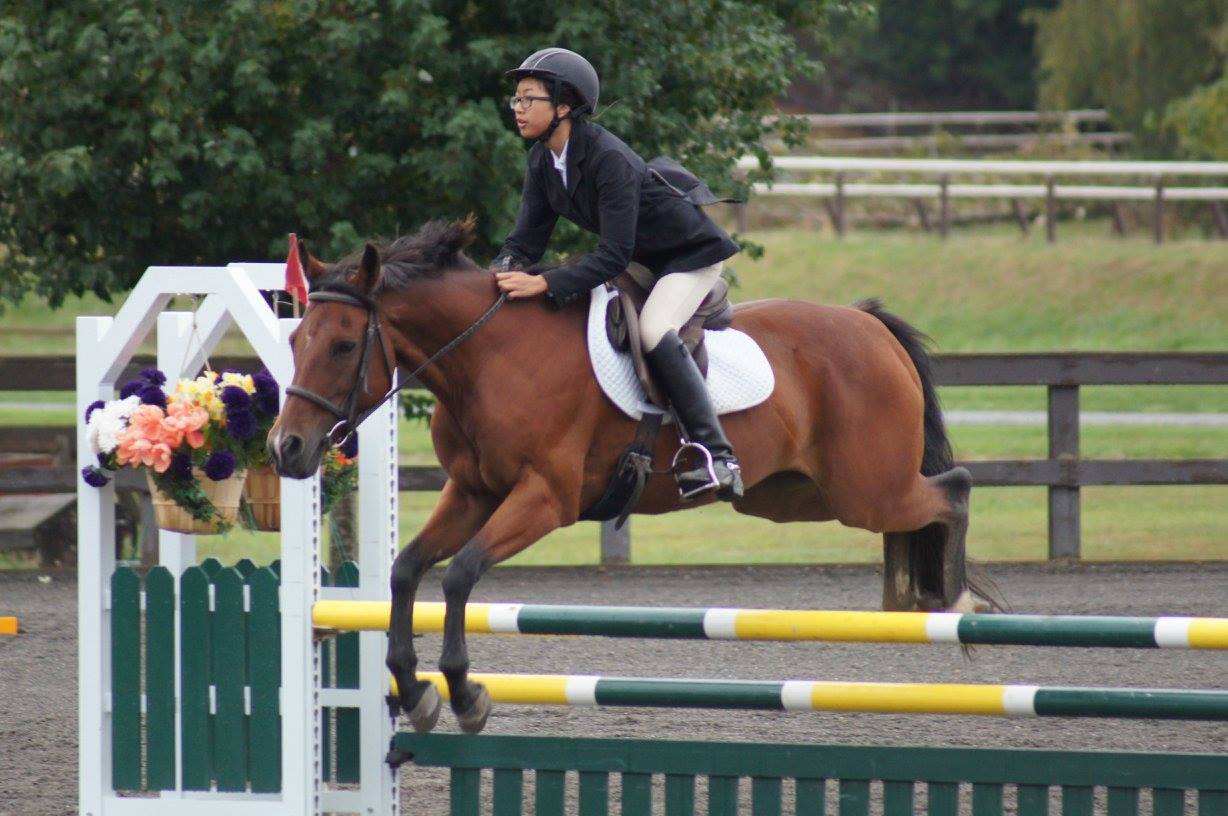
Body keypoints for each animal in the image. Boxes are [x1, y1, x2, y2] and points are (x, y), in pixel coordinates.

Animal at [268, 217, 983, 734]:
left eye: (343, 346)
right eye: (296, 341)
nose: (285, 450)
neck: (486, 359)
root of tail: (869, 325)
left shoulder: (544, 498)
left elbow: (461, 574)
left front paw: (466, 693)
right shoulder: (473, 492)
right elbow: (406, 569)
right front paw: (415, 692)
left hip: (867, 489)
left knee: (952, 490)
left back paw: (950, 604)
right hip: (794, 496)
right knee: (918, 511)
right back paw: (905, 601)